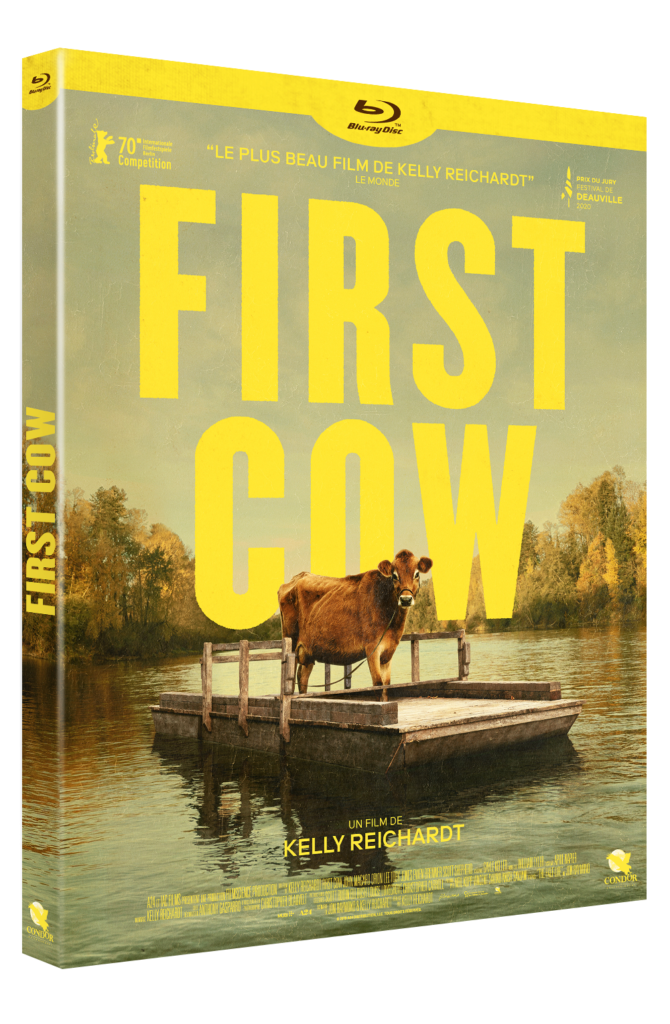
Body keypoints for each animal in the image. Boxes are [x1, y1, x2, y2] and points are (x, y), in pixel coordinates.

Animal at [278, 550, 433, 695]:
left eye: (417, 574)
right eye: (394, 576)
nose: (405, 599)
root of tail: (298, 577)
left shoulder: (388, 652)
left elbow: (386, 686)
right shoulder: (372, 648)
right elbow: (378, 684)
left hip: (308, 650)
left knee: (302, 677)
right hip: (291, 642)